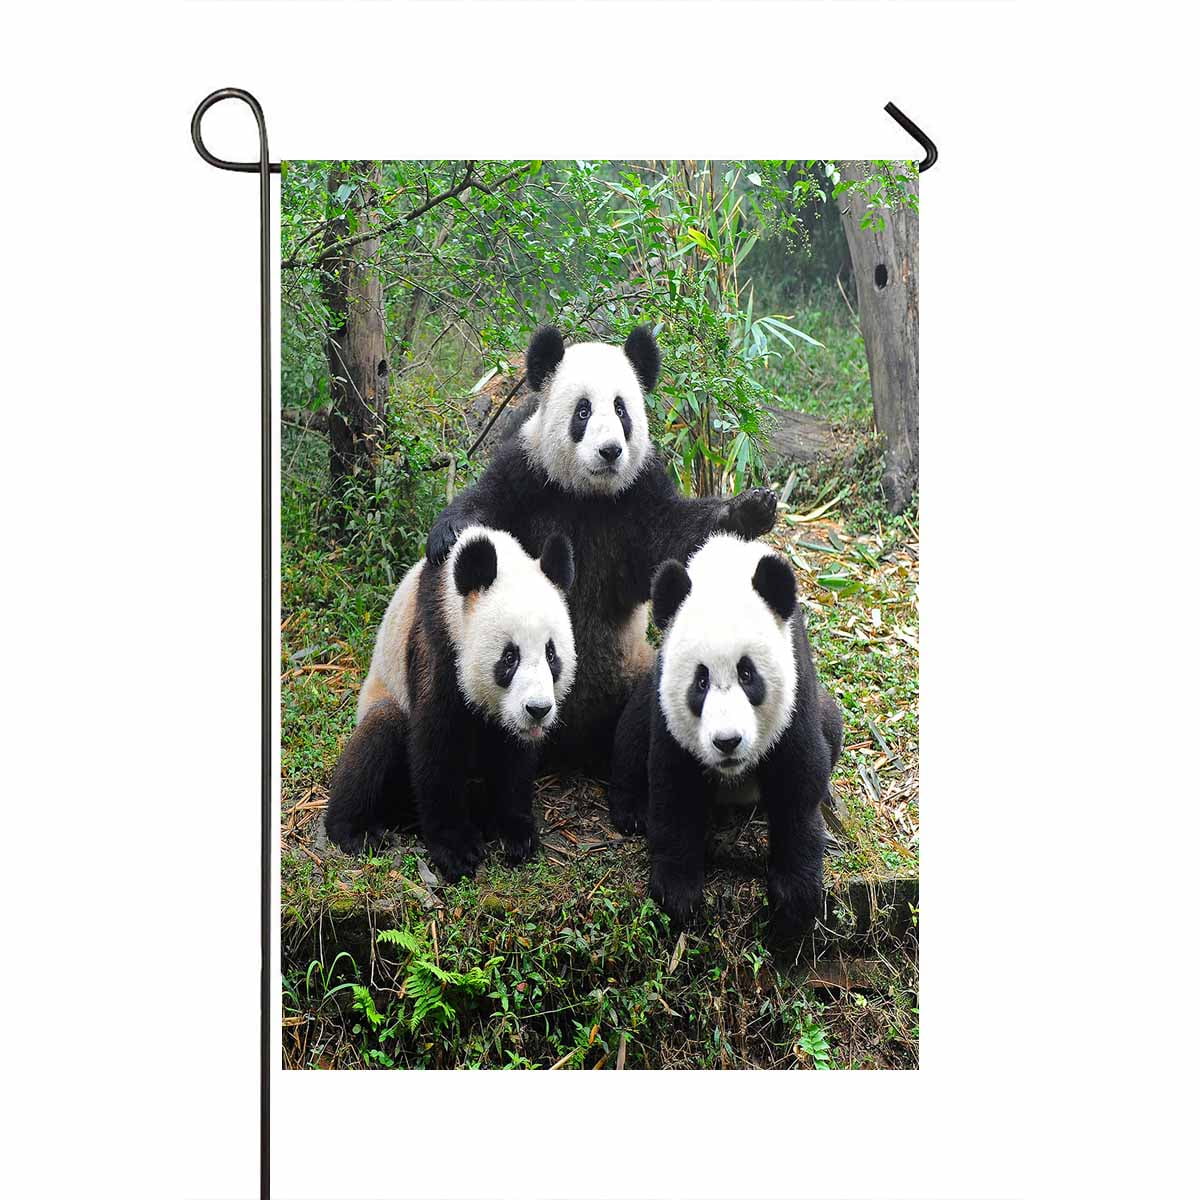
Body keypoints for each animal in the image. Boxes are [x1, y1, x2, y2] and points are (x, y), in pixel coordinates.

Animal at [324, 526, 577, 881]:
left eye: (551, 654)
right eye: (509, 657)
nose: (538, 710)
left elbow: (514, 757)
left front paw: (516, 833)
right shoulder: (438, 644)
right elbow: (436, 746)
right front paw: (457, 850)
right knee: (378, 735)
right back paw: (355, 830)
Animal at [426, 325, 778, 769]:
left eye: (621, 410)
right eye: (583, 411)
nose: (610, 451)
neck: (588, 494)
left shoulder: (638, 495)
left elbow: (677, 537)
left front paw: (752, 508)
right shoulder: (527, 476)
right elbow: (485, 505)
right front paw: (448, 536)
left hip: (636, 669)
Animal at [608, 533, 843, 938]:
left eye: (747, 674)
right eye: (700, 682)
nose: (727, 742)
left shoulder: (796, 688)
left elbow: (799, 780)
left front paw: (795, 899)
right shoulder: (669, 708)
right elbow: (674, 787)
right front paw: (678, 892)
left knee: (833, 727)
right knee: (632, 734)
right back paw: (632, 810)